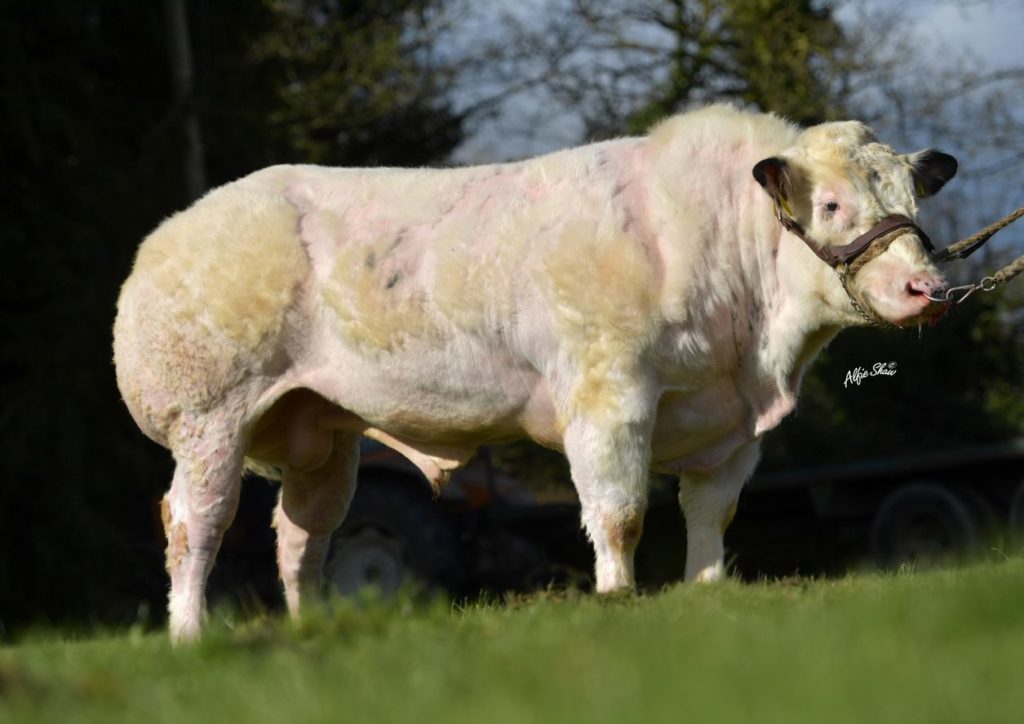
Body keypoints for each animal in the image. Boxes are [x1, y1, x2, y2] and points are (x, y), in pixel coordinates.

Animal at [113, 104, 956, 642]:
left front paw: (706, 594)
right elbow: (619, 513)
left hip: (322, 435)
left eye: (912, 199)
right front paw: (617, 598)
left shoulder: (731, 428)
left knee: (299, 535)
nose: (928, 289)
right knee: (195, 523)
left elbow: (711, 519)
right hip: (210, 418)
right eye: (833, 204)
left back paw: (311, 625)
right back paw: (190, 635)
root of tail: (172, 231)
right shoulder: (608, 392)